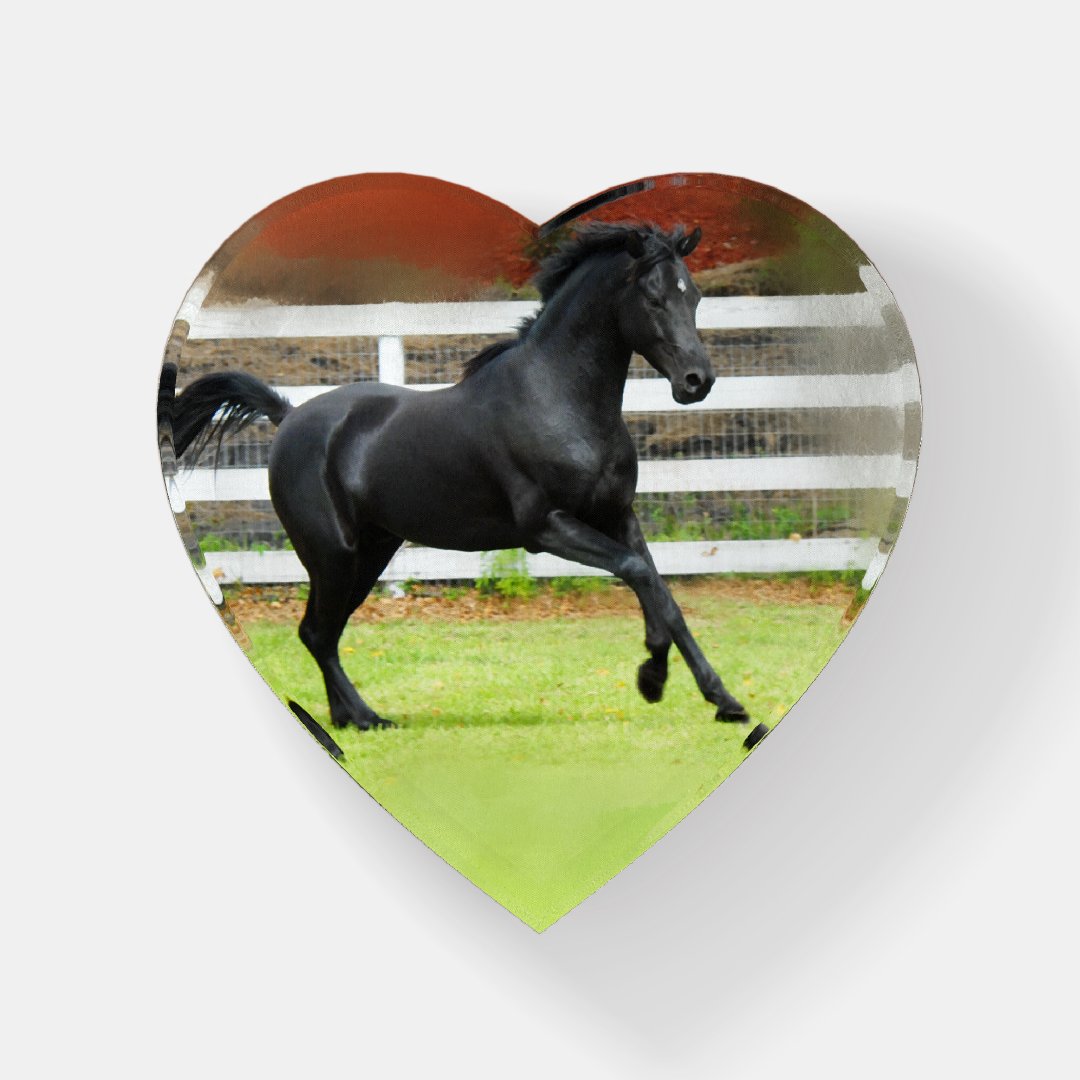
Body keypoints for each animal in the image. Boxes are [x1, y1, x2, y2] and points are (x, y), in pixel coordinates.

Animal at [167, 221, 751, 732]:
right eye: (654, 298)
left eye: (695, 297)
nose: (698, 381)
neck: (558, 400)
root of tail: (288, 416)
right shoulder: (547, 527)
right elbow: (637, 573)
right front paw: (652, 678)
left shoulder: (617, 516)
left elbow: (661, 593)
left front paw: (722, 700)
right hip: (333, 554)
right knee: (316, 632)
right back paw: (366, 718)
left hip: (371, 553)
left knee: (324, 633)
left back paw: (349, 718)